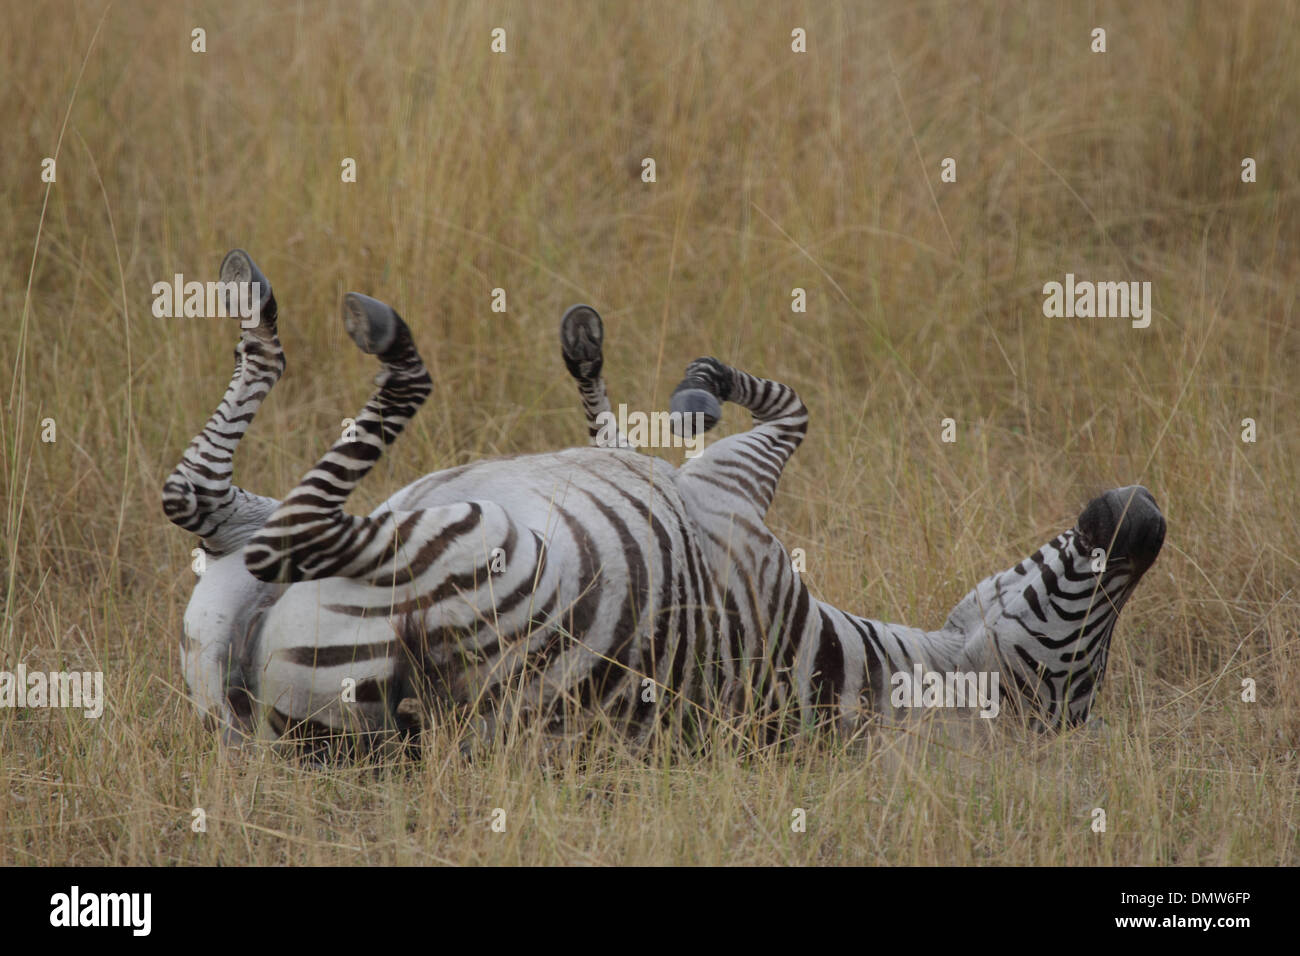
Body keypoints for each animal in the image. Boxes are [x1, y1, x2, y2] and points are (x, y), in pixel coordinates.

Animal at [165, 250, 1166, 754]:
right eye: (1082, 652)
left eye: (1069, 678)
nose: (1148, 518)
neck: (854, 667)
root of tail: (292, 738)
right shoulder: (710, 486)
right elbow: (670, 424)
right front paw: (631, 372)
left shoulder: (734, 490)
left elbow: (792, 404)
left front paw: (681, 392)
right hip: (241, 588)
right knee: (202, 501)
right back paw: (252, 297)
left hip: (462, 543)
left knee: (272, 519)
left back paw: (357, 330)